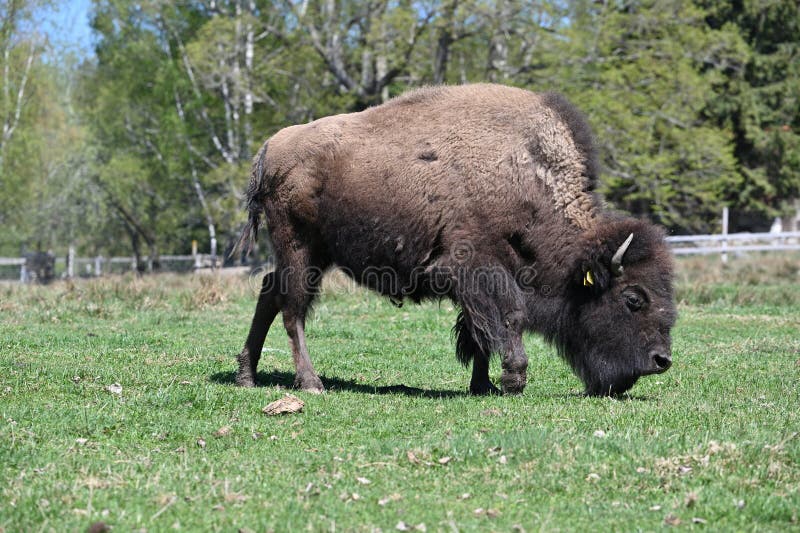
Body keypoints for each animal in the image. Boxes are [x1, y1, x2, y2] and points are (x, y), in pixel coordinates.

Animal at [234, 83, 676, 396]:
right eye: (633, 299)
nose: (661, 360)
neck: (524, 173)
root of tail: (271, 147)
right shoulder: (478, 267)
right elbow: (509, 318)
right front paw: (514, 380)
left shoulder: (472, 281)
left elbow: (478, 332)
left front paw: (484, 385)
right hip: (298, 247)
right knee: (292, 309)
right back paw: (311, 383)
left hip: (313, 253)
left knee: (270, 293)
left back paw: (247, 376)